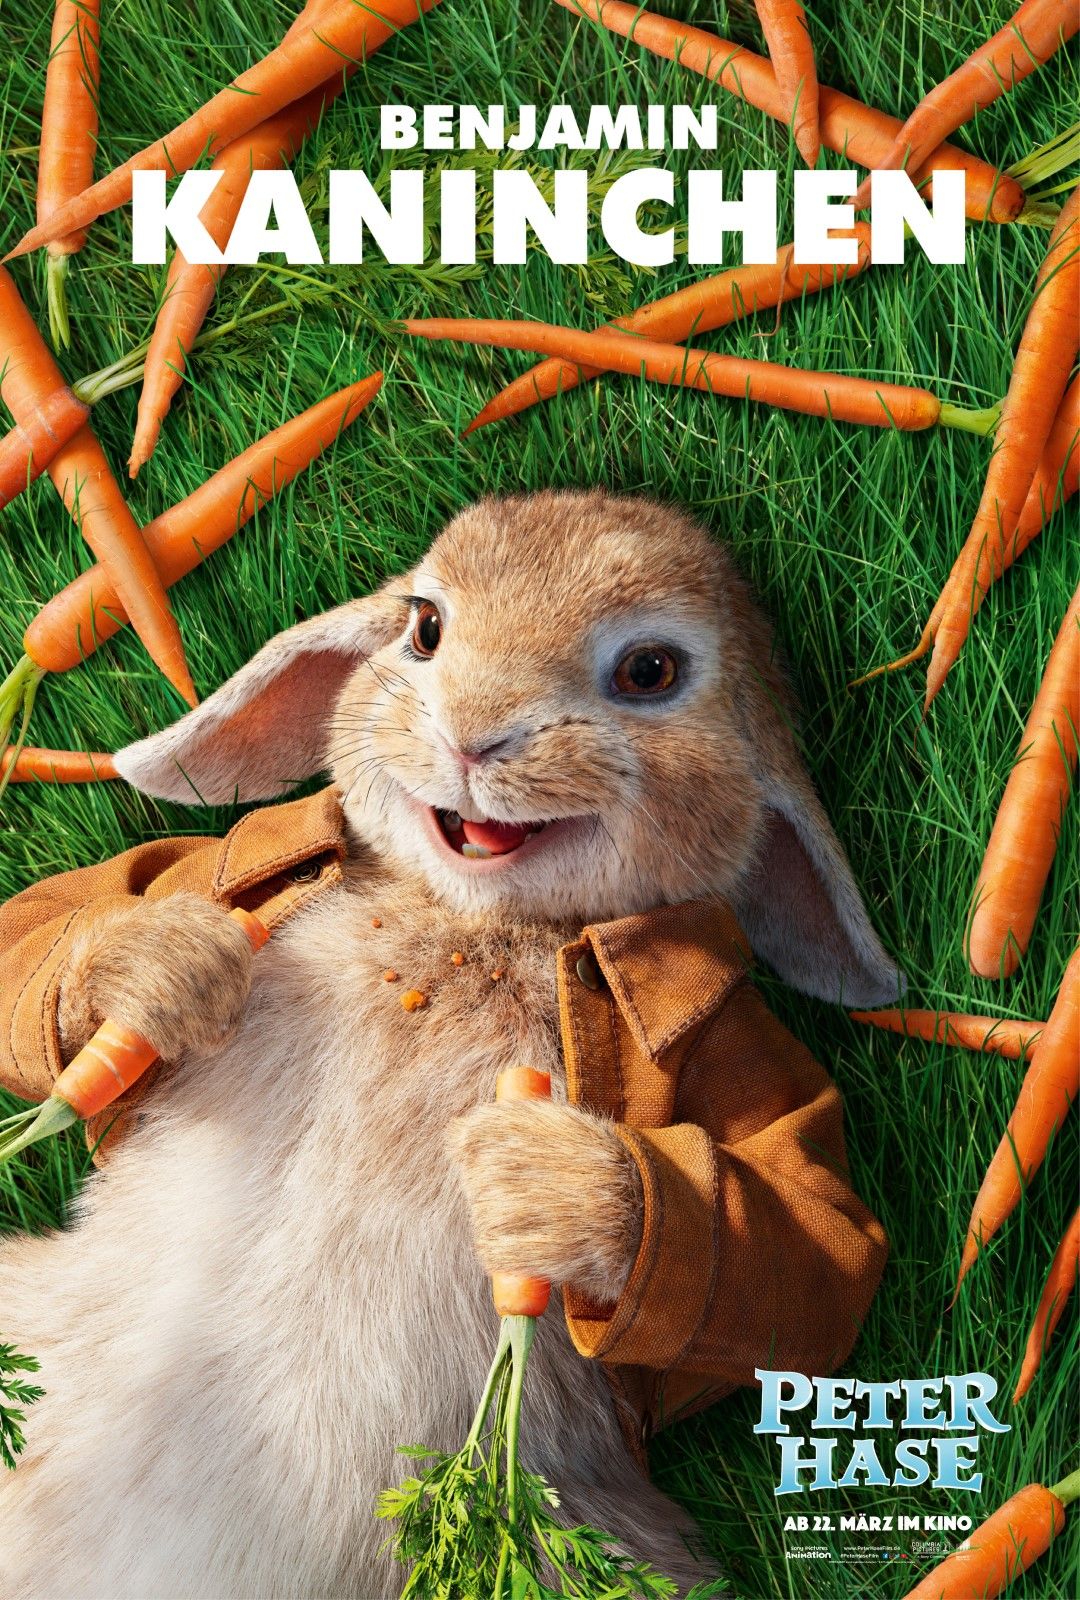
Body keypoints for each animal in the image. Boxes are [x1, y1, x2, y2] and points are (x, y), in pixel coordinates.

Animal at [0, 489, 900, 1600]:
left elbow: (812, 1239)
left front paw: (537, 1179)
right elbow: (58, 917)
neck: (474, 920)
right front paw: (173, 963)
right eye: (425, 628)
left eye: (651, 670)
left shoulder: (742, 1064)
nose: (472, 739)